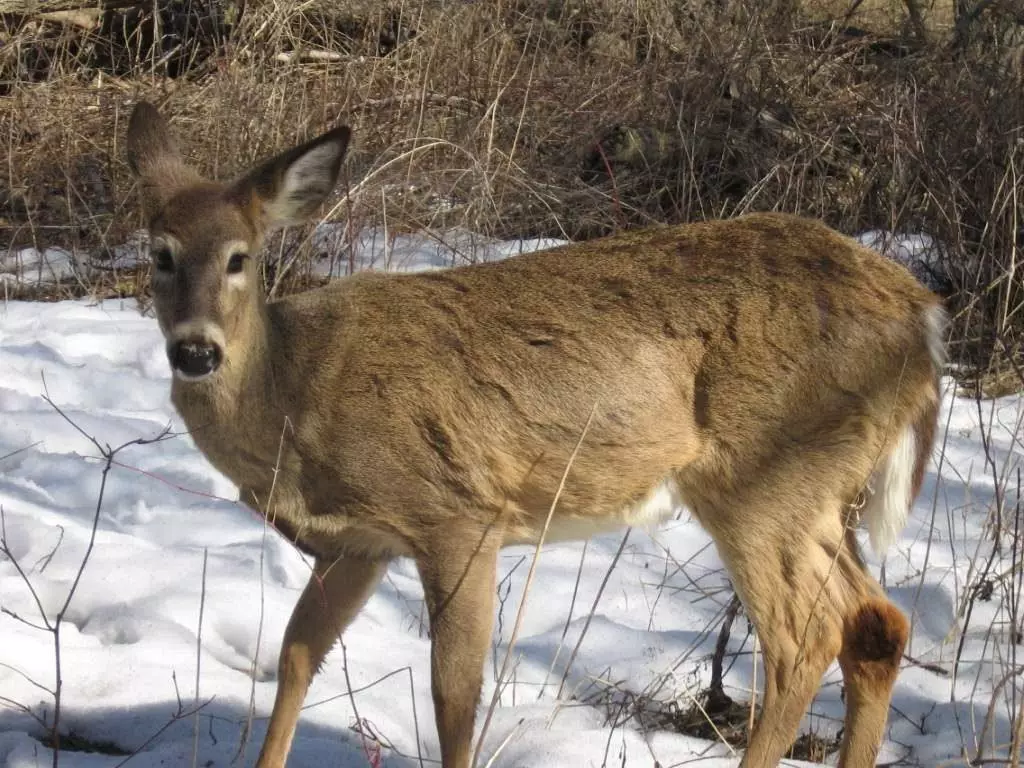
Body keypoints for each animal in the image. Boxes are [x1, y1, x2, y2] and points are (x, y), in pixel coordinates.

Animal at [125, 103, 942, 768]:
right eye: (159, 253)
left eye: (240, 258)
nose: (195, 350)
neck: (295, 397)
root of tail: (923, 316)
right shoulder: (358, 544)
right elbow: (296, 655)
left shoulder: (459, 513)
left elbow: (454, 697)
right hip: (822, 493)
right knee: (878, 622)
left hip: (763, 476)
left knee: (804, 641)